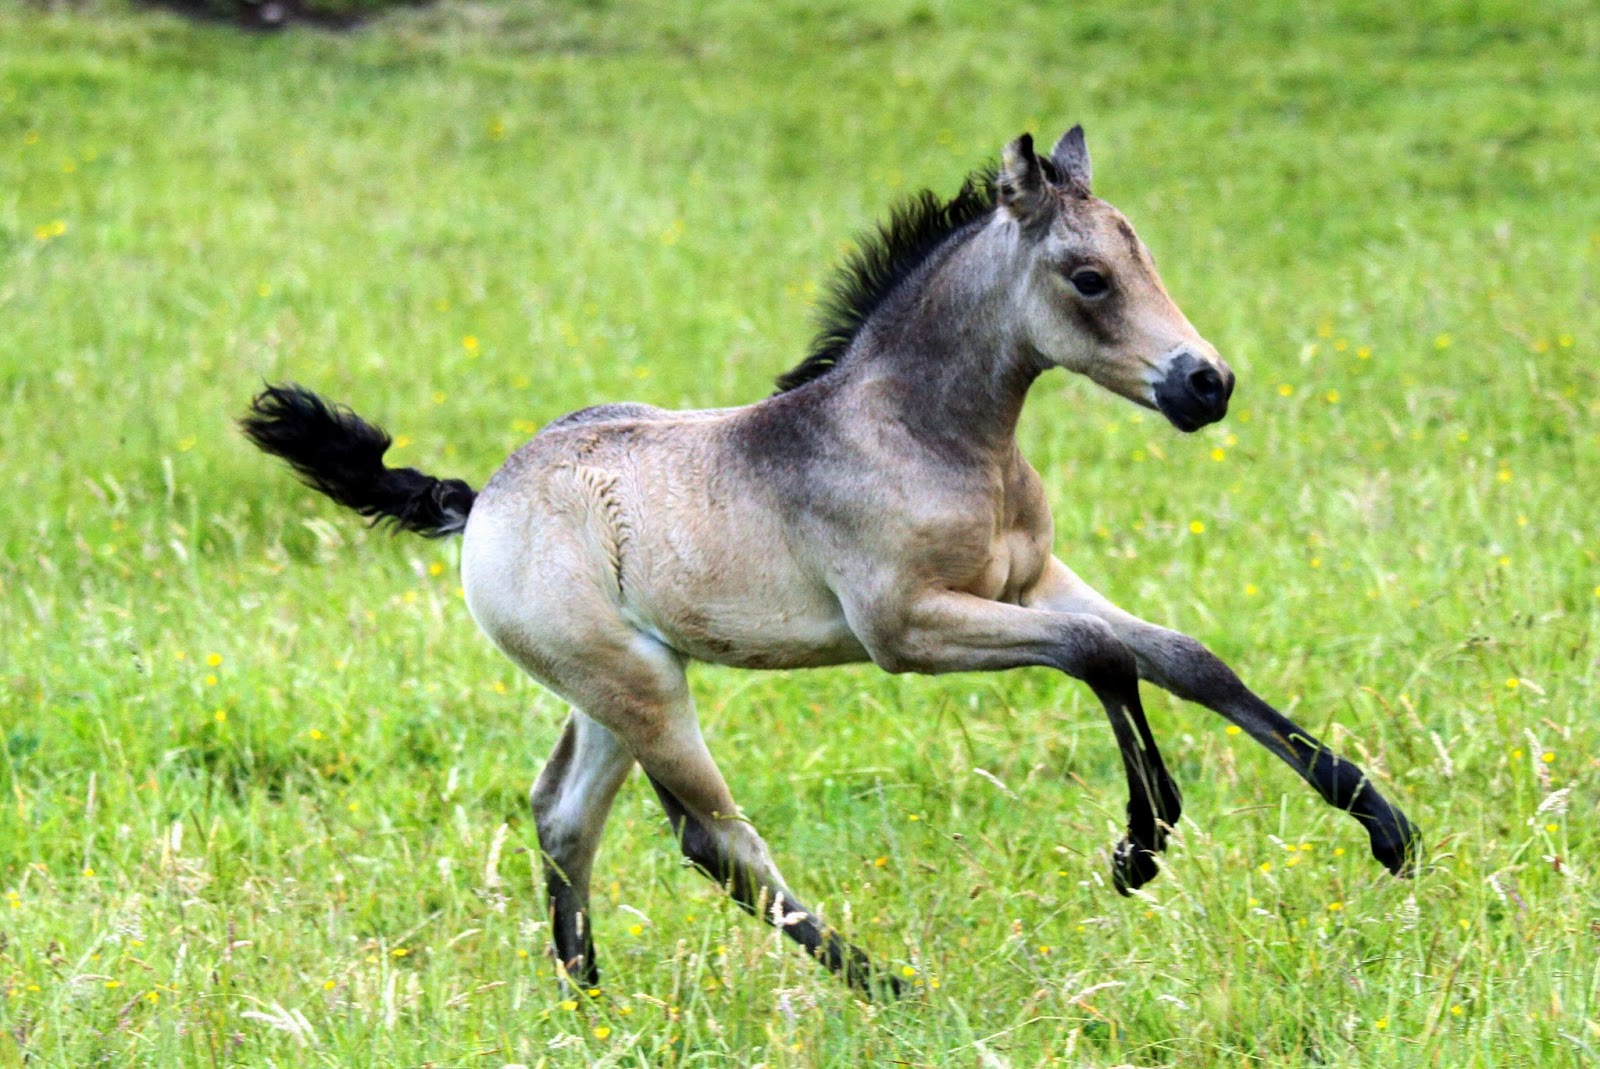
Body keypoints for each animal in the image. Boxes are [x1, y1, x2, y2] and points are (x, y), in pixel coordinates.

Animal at [241, 126, 1421, 998]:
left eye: (1147, 261)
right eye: (1089, 278)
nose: (1204, 384)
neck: (931, 436)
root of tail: (481, 498)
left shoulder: (1028, 581)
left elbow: (1180, 657)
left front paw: (1385, 826)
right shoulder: (909, 628)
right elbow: (1099, 655)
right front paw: (1140, 847)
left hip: (614, 684)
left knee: (565, 815)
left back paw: (588, 995)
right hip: (639, 686)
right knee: (716, 840)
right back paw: (890, 987)